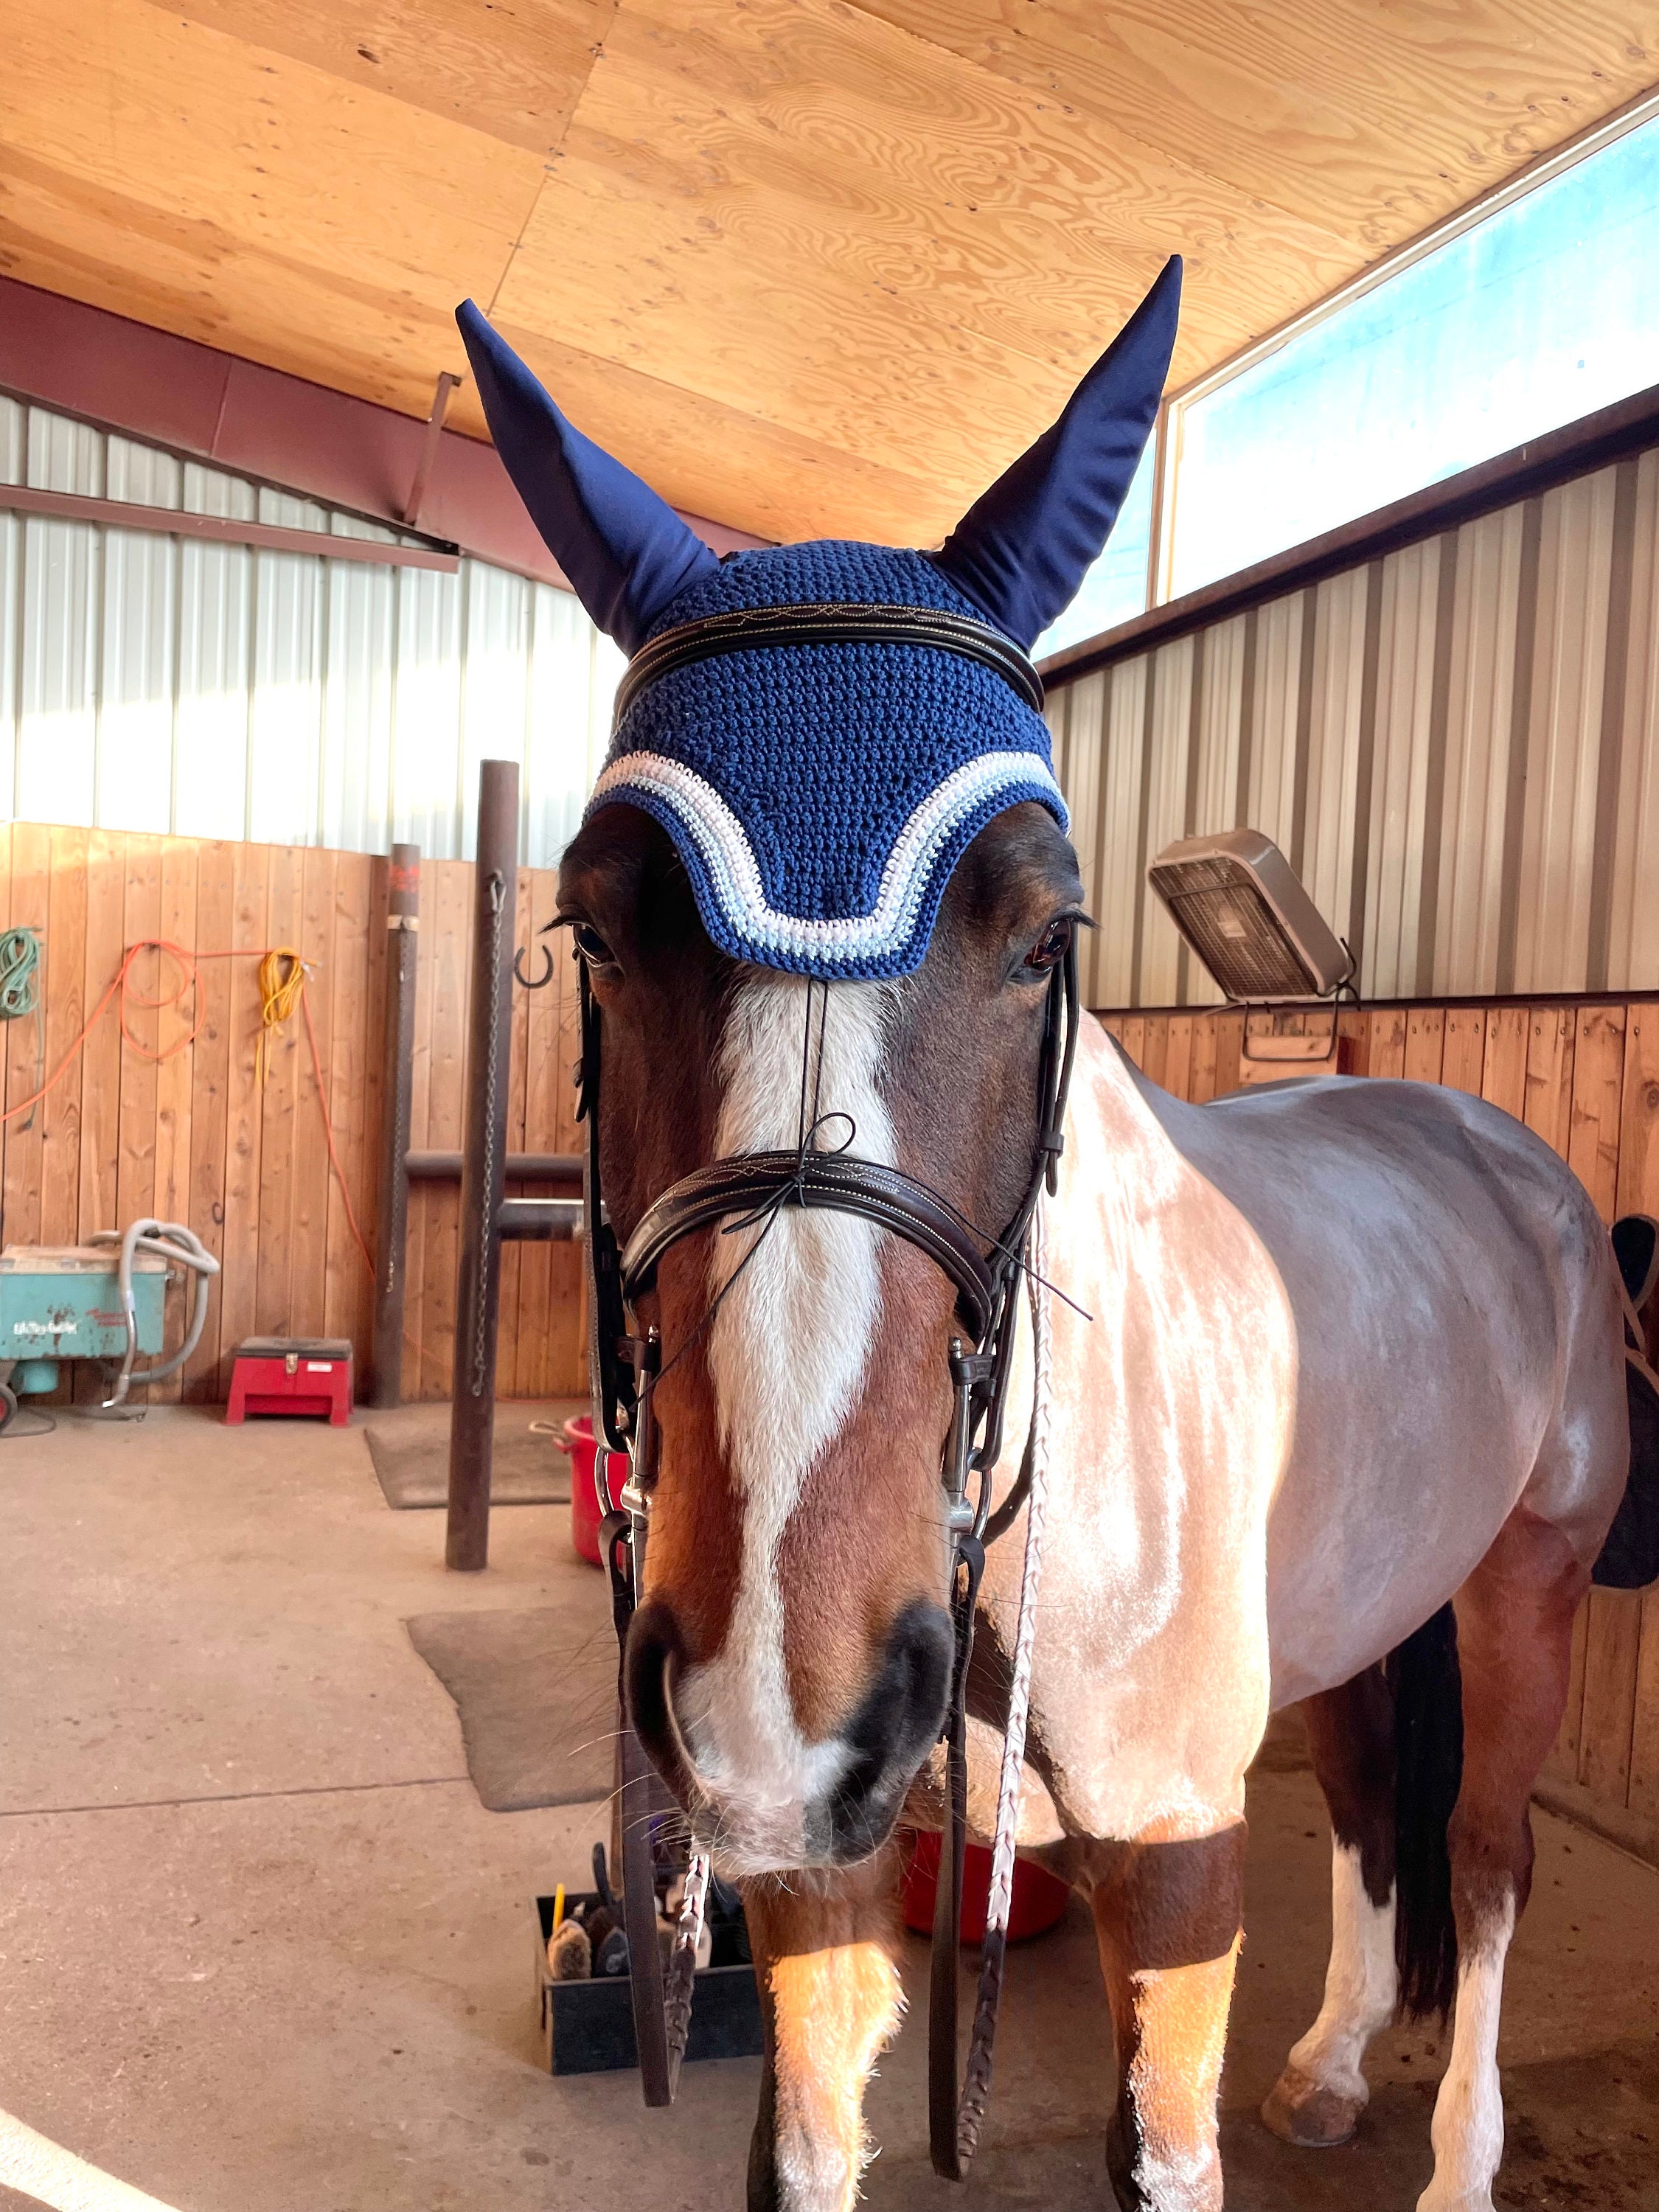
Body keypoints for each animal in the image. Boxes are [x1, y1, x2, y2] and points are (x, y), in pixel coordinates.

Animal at [456, 270, 1634, 2212]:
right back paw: (1329, 2064)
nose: (781, 1694)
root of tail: (1490, 1144)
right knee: (1372, 1798)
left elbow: (1165, 2149)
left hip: (1525, 1591)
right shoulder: (826, 1864)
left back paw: (1459, 2155)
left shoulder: (1176, 1859)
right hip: (1363, 1614)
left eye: (1041, 933)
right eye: (598, 929)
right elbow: (811, 2143)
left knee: (1483, 1849)